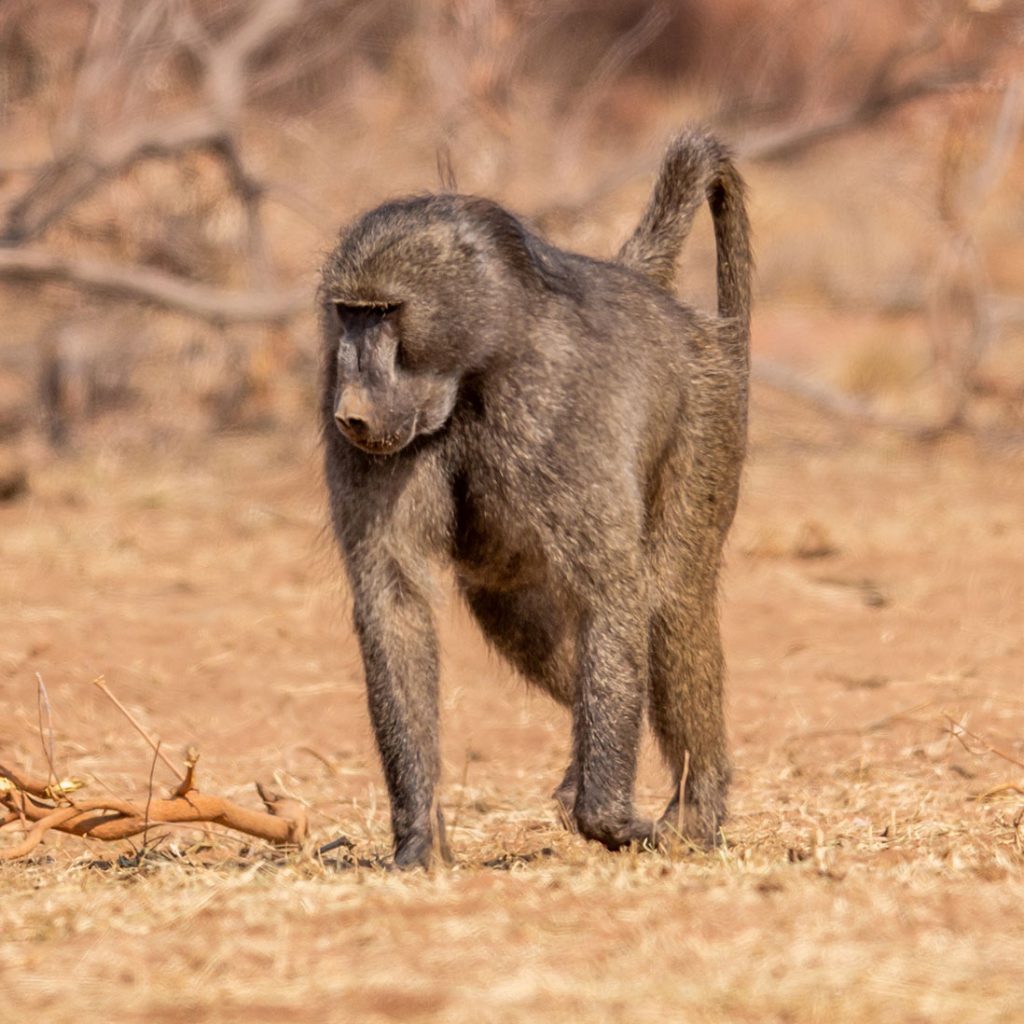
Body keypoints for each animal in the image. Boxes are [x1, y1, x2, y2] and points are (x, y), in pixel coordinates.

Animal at [319, 126, 752, 869]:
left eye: (384, 314)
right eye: (348, 316)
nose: (351, 415)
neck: (480, 361)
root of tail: (652, 292)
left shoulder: (559, 400)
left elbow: (613, 589)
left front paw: (607, 817)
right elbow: (395, 598)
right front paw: (417, 840)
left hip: (708, 414)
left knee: (670, 597)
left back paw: (697, 809)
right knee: (511, 610)